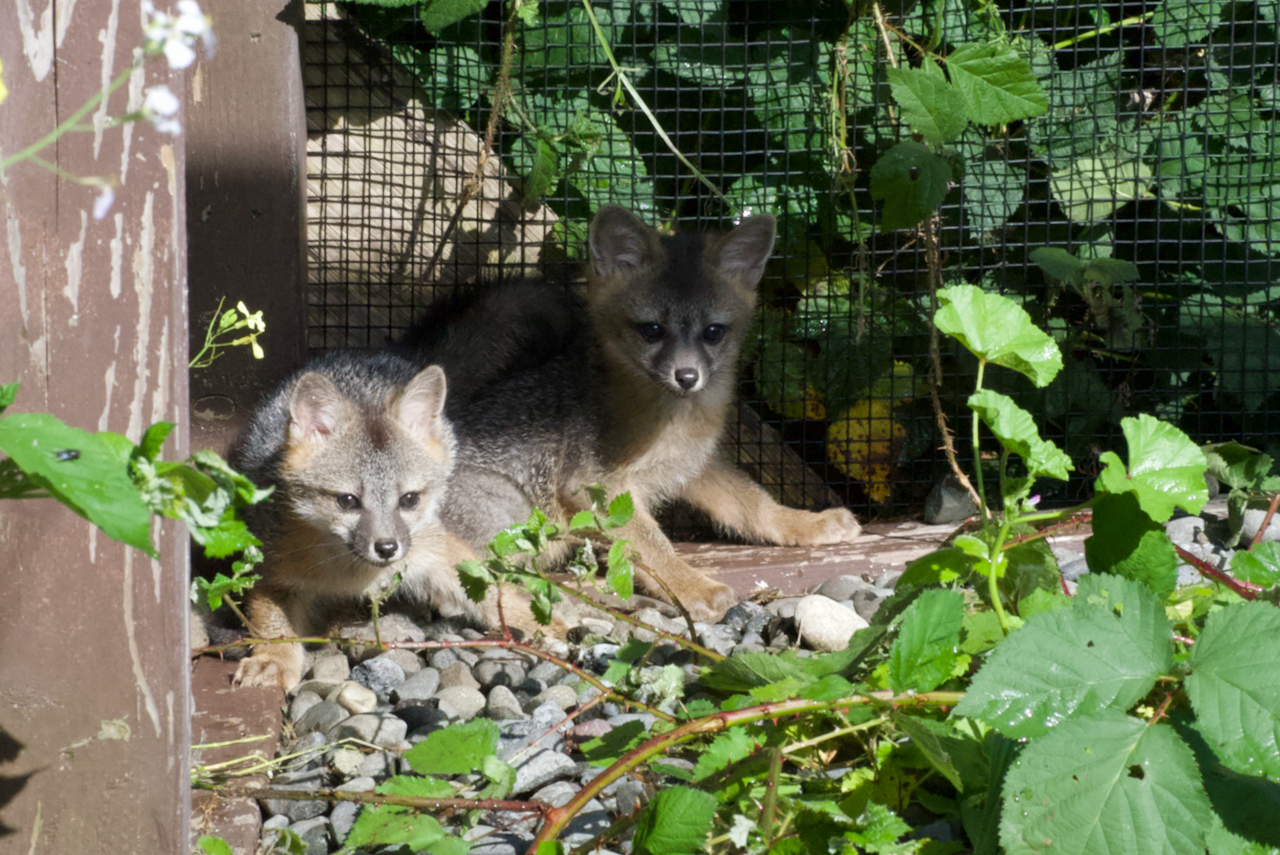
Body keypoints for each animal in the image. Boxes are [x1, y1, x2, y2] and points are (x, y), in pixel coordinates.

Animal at [228, 351, 540, 692]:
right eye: (347, 501)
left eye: (409, 499)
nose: (387, 547)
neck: (352, 576)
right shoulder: (270, 571)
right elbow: (275, 626)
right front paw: (272, 659)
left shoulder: (435, 551)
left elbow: (493, 593)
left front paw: (542, 625)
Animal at [403, 205, 863, 623]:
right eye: (652, 330)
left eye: (713, 332)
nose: (687, 376)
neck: (677, 422)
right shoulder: (597, 487)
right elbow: (653, 546)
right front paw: (694, 587)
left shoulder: (694, 466)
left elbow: (752, 504)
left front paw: (806, 524)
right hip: (519, 516)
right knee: (473, 581)